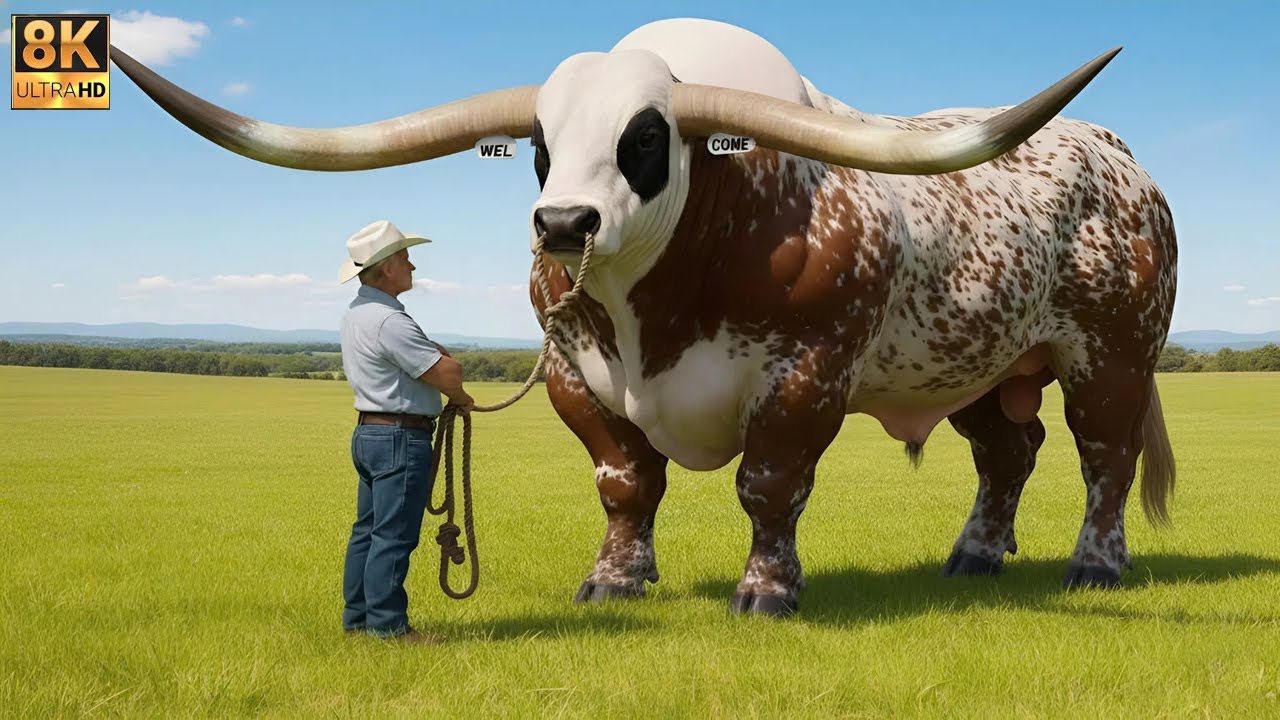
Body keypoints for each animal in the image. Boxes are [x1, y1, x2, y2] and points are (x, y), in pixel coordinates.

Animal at [110, 17, 1177, 616]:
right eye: (538, 145)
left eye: (648, 137)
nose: (561, 225)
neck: (653, 306)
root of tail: (1117, 156)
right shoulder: (574, 374)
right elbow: (625, 482)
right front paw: (615, 580)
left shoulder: (808, 373)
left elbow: (770, 487)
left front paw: (767, 590)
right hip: (987, 367)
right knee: (1008, 453)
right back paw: (973, 556)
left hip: (1112, 356)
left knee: (1104, 459)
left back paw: (1095, 568)